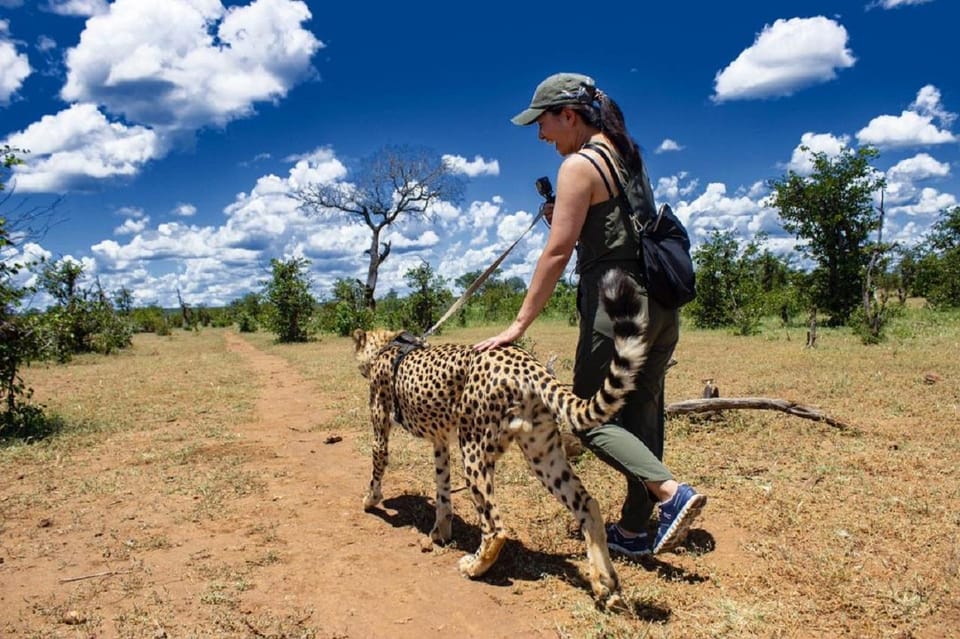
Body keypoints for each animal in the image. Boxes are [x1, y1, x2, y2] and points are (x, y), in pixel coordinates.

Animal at [351, 269, 648, 604]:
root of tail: (523, 358)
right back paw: (604, 582)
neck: (387, 346)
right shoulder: (440, 442)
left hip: (474, 449)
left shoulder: (381, 427)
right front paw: (440, 531)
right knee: (587, 504)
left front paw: (370, 501)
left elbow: (377, 467)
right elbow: (442, 489)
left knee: (496, 527)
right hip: (542, 454)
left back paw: (475, 565)